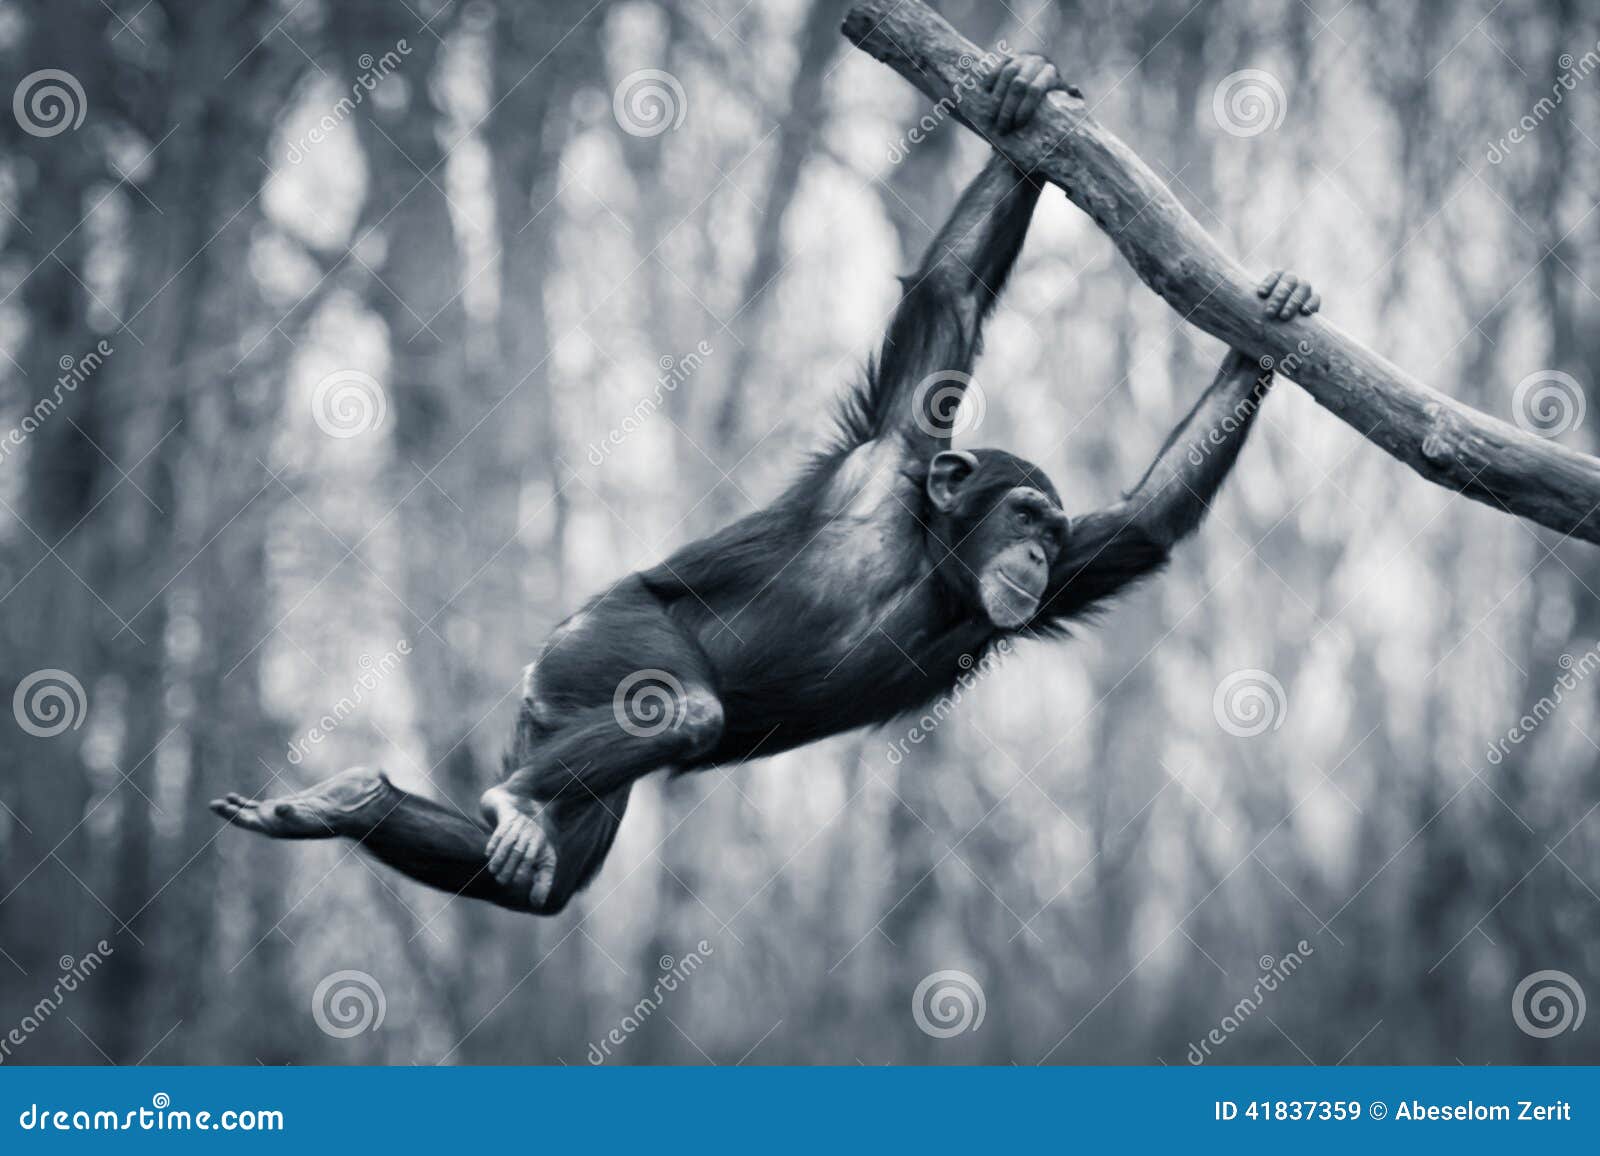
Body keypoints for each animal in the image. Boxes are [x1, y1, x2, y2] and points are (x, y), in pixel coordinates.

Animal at [212, 51, 1320, 916]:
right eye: (1025, 514)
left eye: (1053, 533)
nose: (1039, 554)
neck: (929, 557)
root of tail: (539, 673)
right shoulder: (894, 444)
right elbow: (951, 291)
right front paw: (1018, 110)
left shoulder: (1071, 575)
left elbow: (1144, 522)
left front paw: (1259, 342)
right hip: (597, 639)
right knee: (677, 716)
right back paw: (505, 801)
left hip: (550, 717)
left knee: (545, 880)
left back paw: (346, 804)